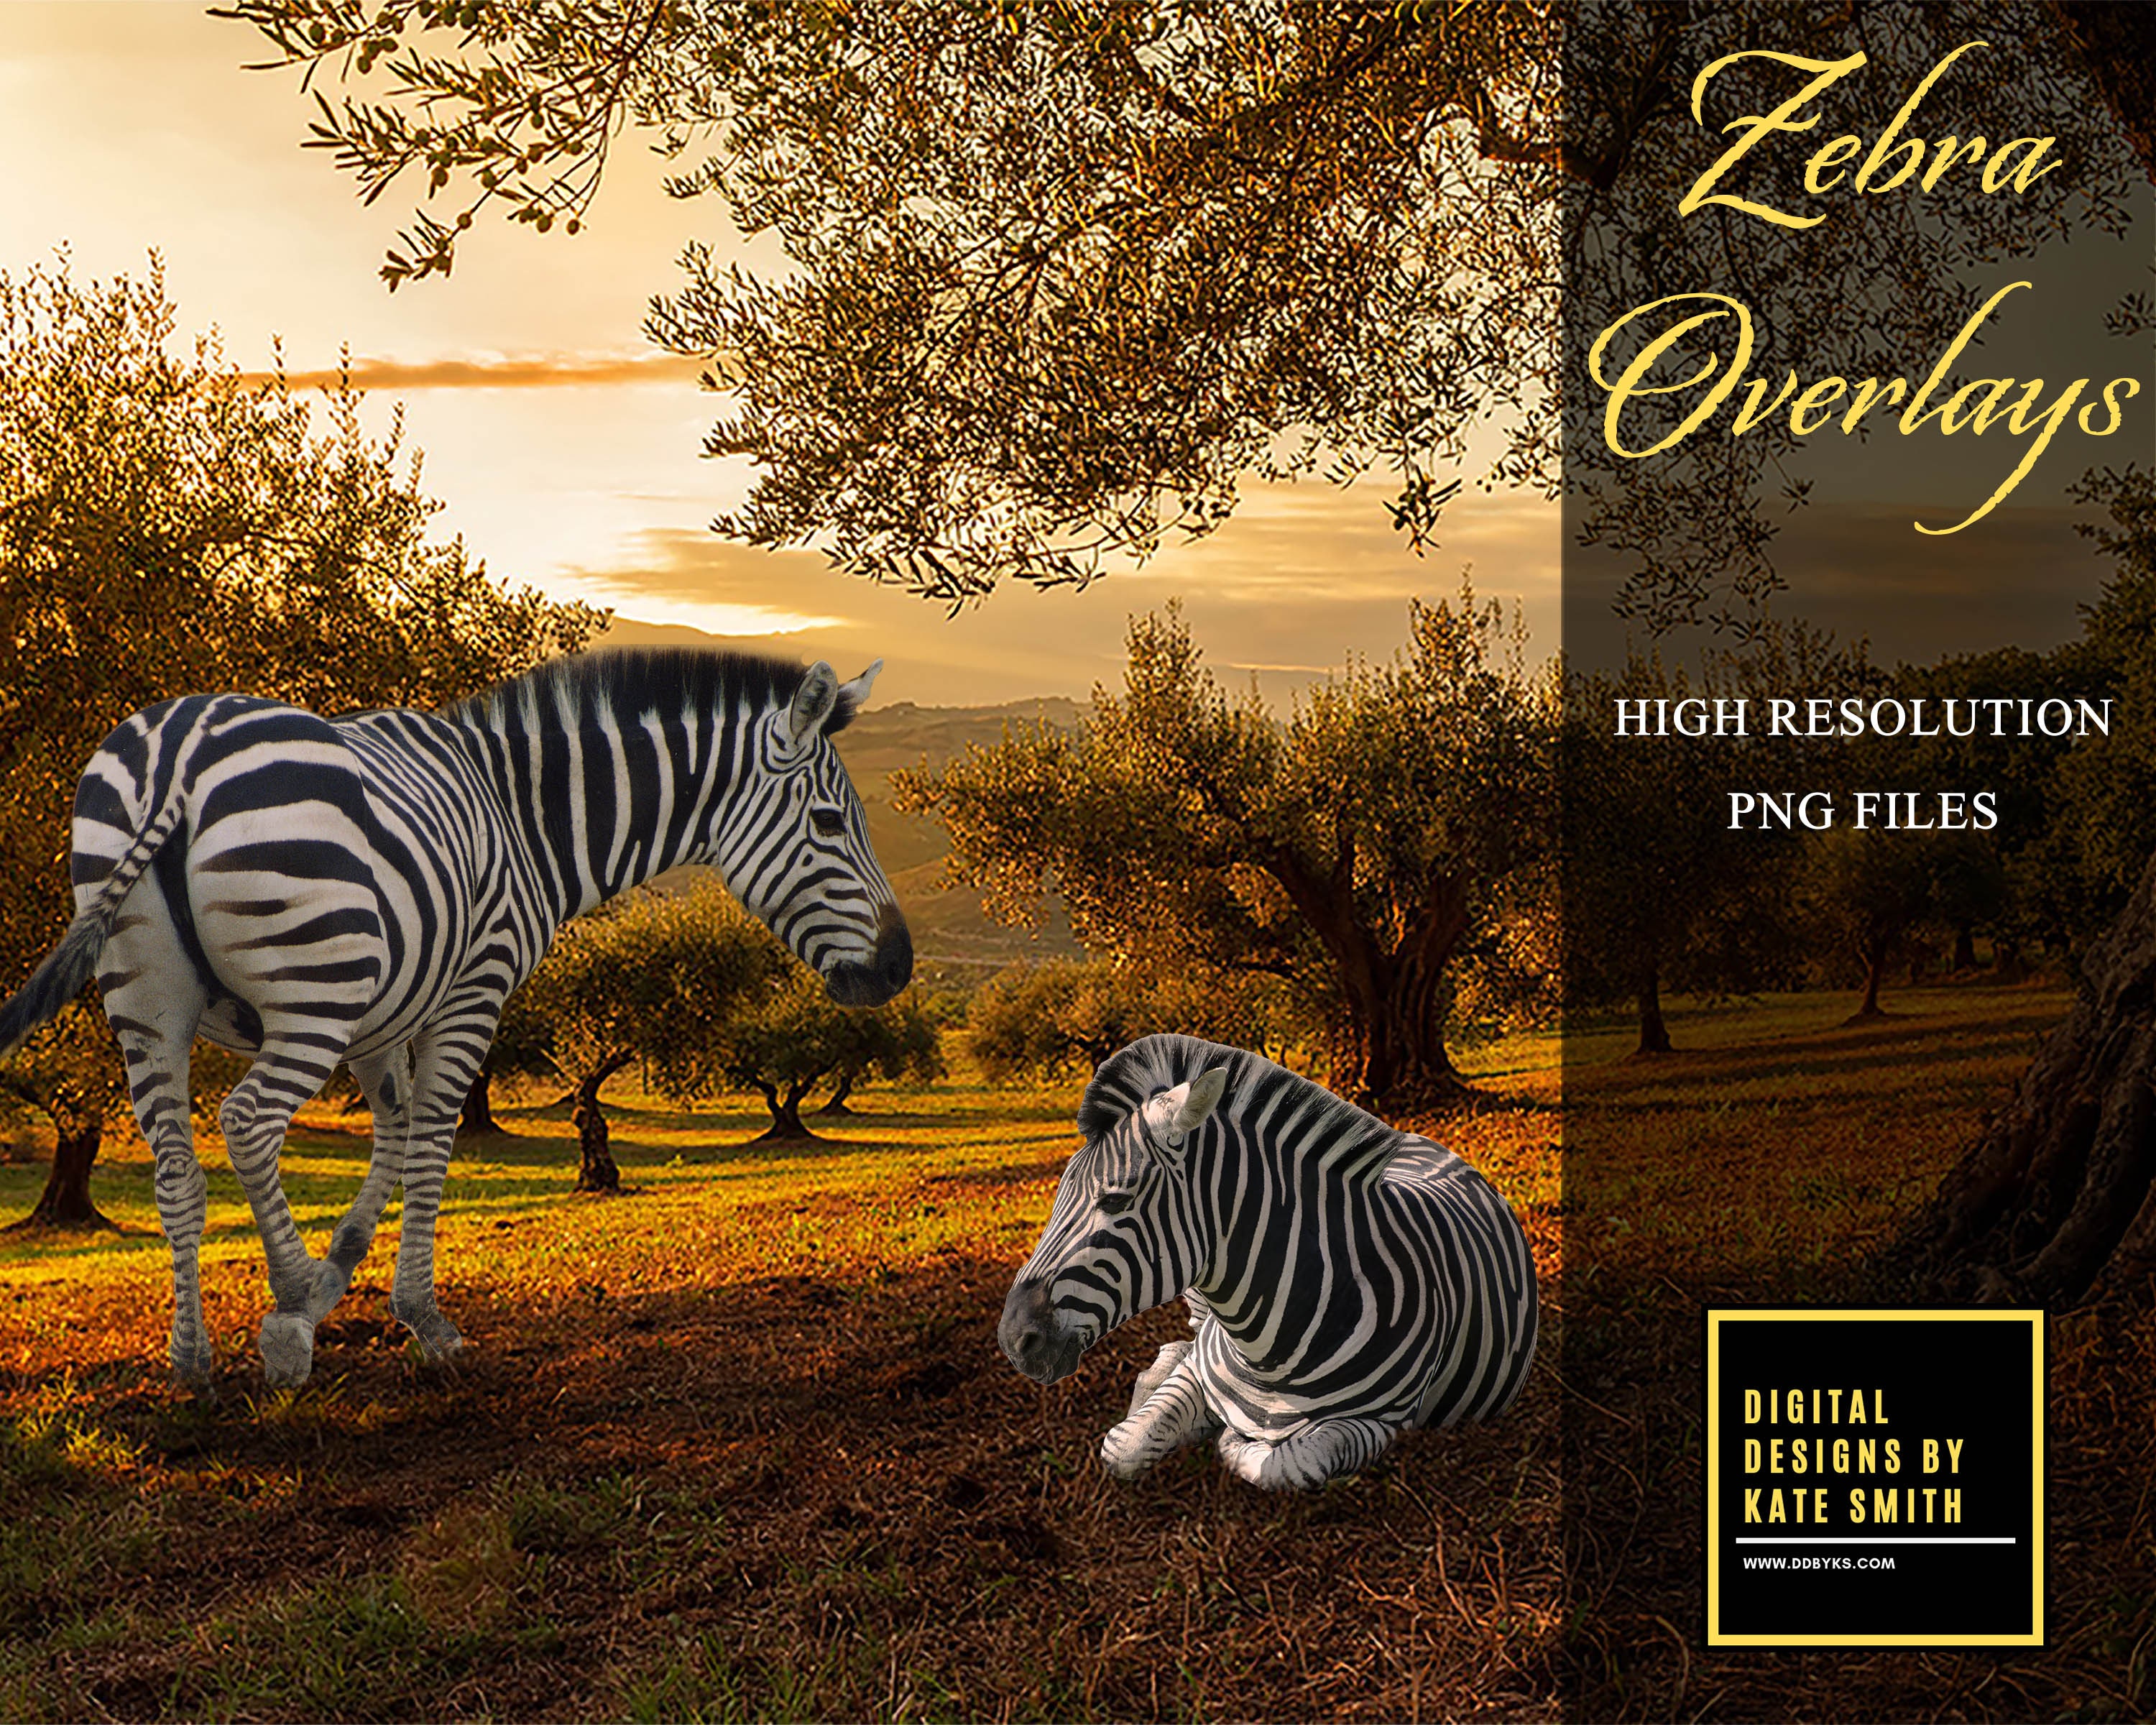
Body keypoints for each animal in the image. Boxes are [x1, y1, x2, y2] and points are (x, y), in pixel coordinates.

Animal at [0, 648, 911, 1389]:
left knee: (175, 1166)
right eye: (830, 822)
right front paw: (412, 1317)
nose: (899, 966)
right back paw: (286, 1309)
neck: (526, 820)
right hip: (311, 990)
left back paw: (191, 1361)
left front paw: (339, 1275)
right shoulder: (473, 986)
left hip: (147, 1002)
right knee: (249, 1121)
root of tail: (178, 754)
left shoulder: (385, 1013)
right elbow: (433, 1139)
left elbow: (395, 1136)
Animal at [997, 1034, 1538, 1490]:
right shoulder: (1199, 1371)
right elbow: (1126, 1445)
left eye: (1114, 1200)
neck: (1268, 1350)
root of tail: (1436, 1147)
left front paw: (1229, 1438)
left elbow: (1282, 1462)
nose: (1012, 1341)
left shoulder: (1378, 1422)